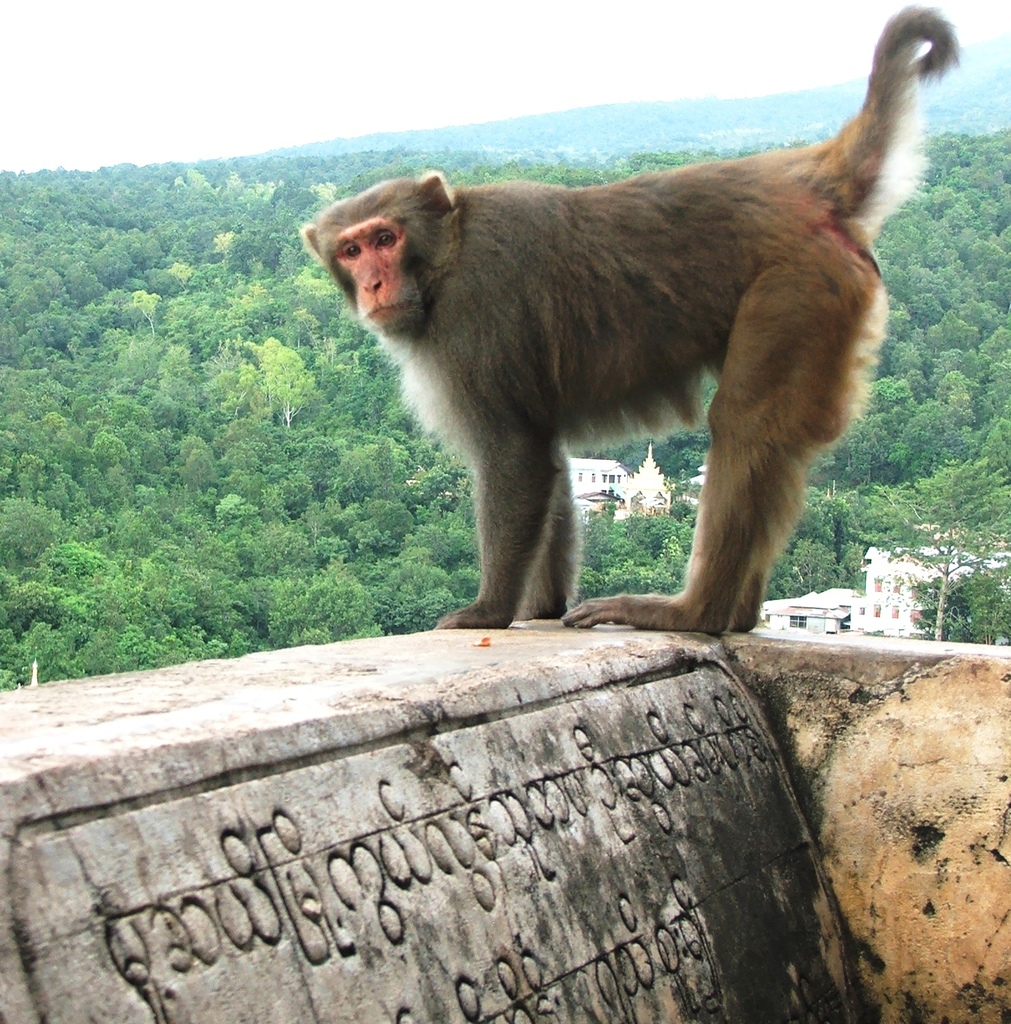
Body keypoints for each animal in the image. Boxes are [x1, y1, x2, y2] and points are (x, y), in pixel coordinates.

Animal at [301, 7, 958, 634]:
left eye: (385, 238)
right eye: (351, 250)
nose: (374, 284)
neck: (447, 260)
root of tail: (802, 179)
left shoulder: (473, 326)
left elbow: (515, 453)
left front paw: (490, 610)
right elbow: (547, 460)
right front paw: (541, 606)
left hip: (797, 290)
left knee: (746, 425)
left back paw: (697, 614)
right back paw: (738, 615)